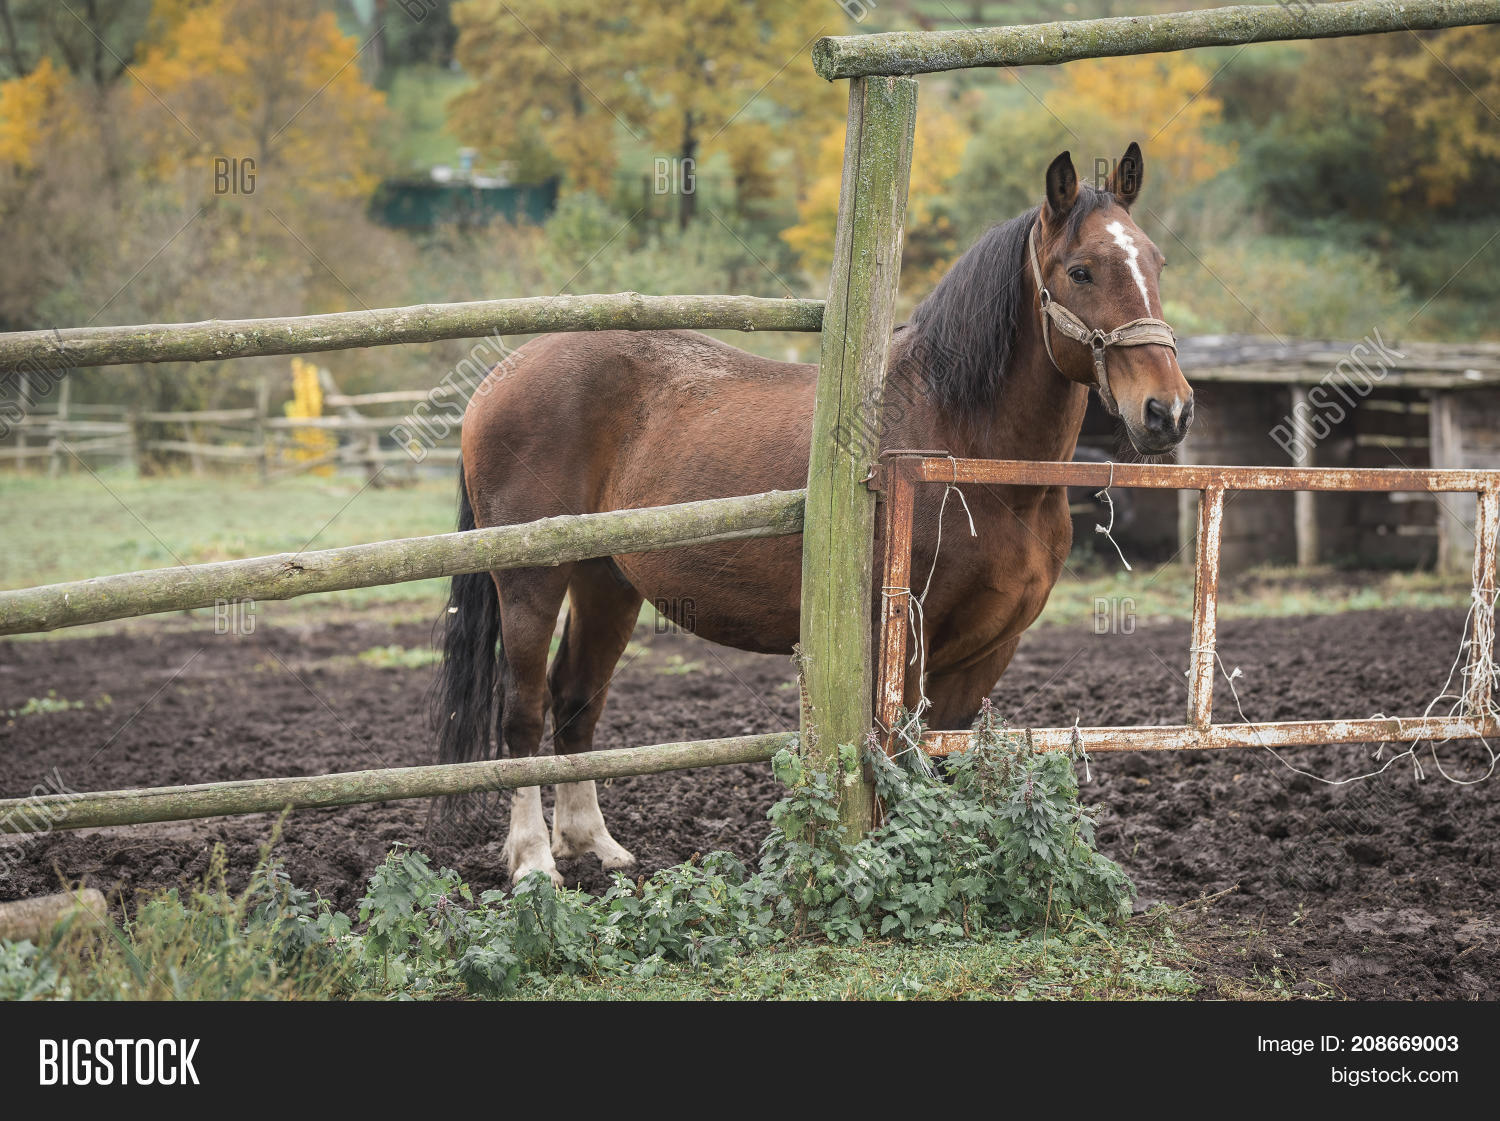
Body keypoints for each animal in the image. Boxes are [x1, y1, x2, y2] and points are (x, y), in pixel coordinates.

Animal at [432, 143, 1193, 886]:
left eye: (1158, 263)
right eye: (1080, 270)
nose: (1169, 410)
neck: (971, 452)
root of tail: (499, 378)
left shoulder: (988, 651)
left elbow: (944, 755)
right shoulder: (903, 642)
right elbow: (899, 757)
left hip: (606, 582)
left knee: (576, 701)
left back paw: (594, 845)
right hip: (530, 581)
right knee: (525, 712)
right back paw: (534, 861)